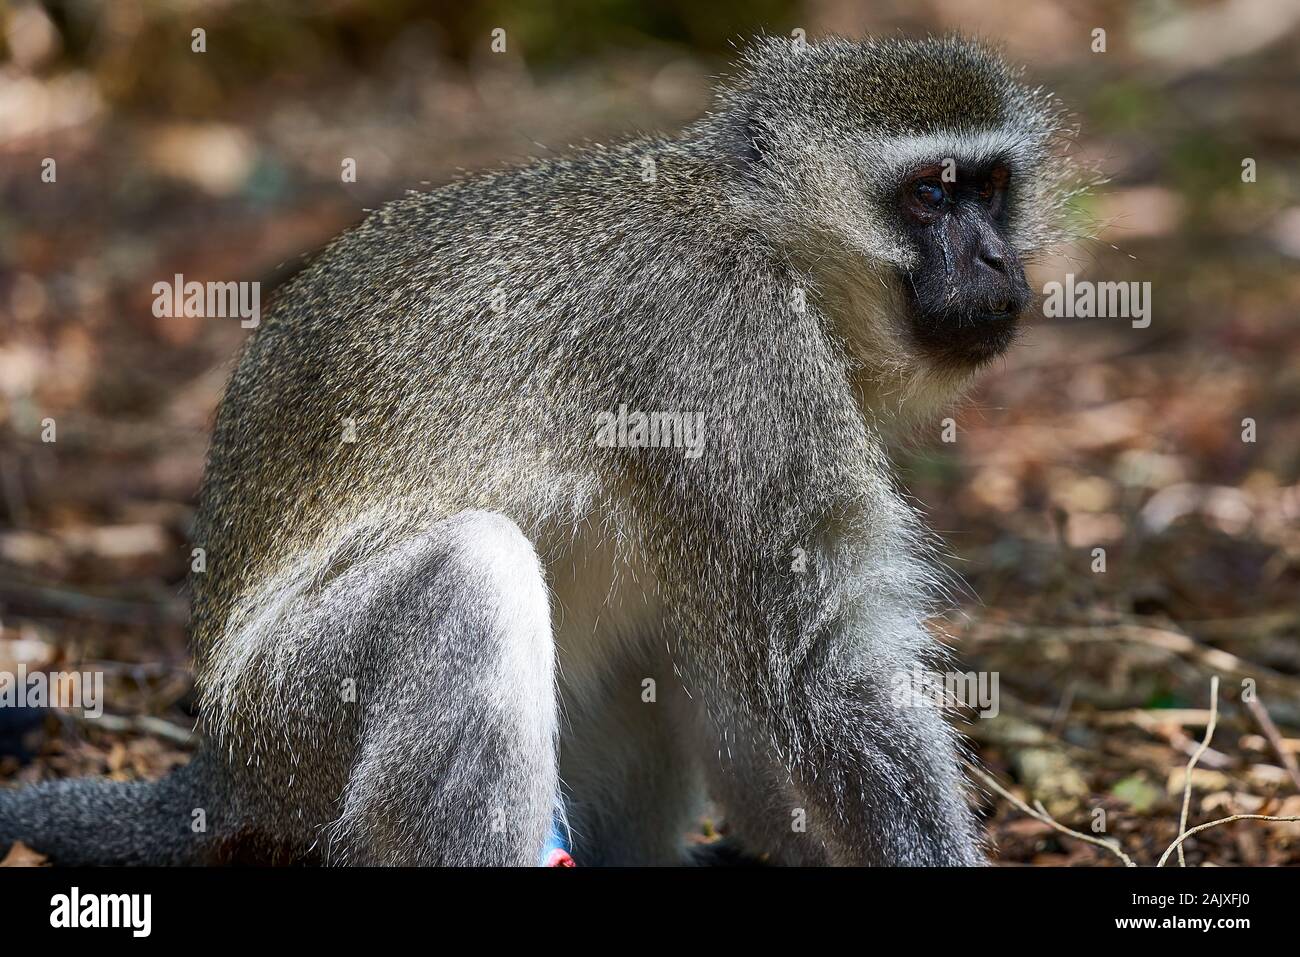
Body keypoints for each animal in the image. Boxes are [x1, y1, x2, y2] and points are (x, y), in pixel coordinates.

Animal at [0, 35, 1076, 866]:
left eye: (990, 188)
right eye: (930, 196)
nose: (996, 259)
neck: (766, 237)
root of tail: (219, 773)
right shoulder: (724, 346)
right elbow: (826, 675)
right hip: (291, 735)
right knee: (468, 579)